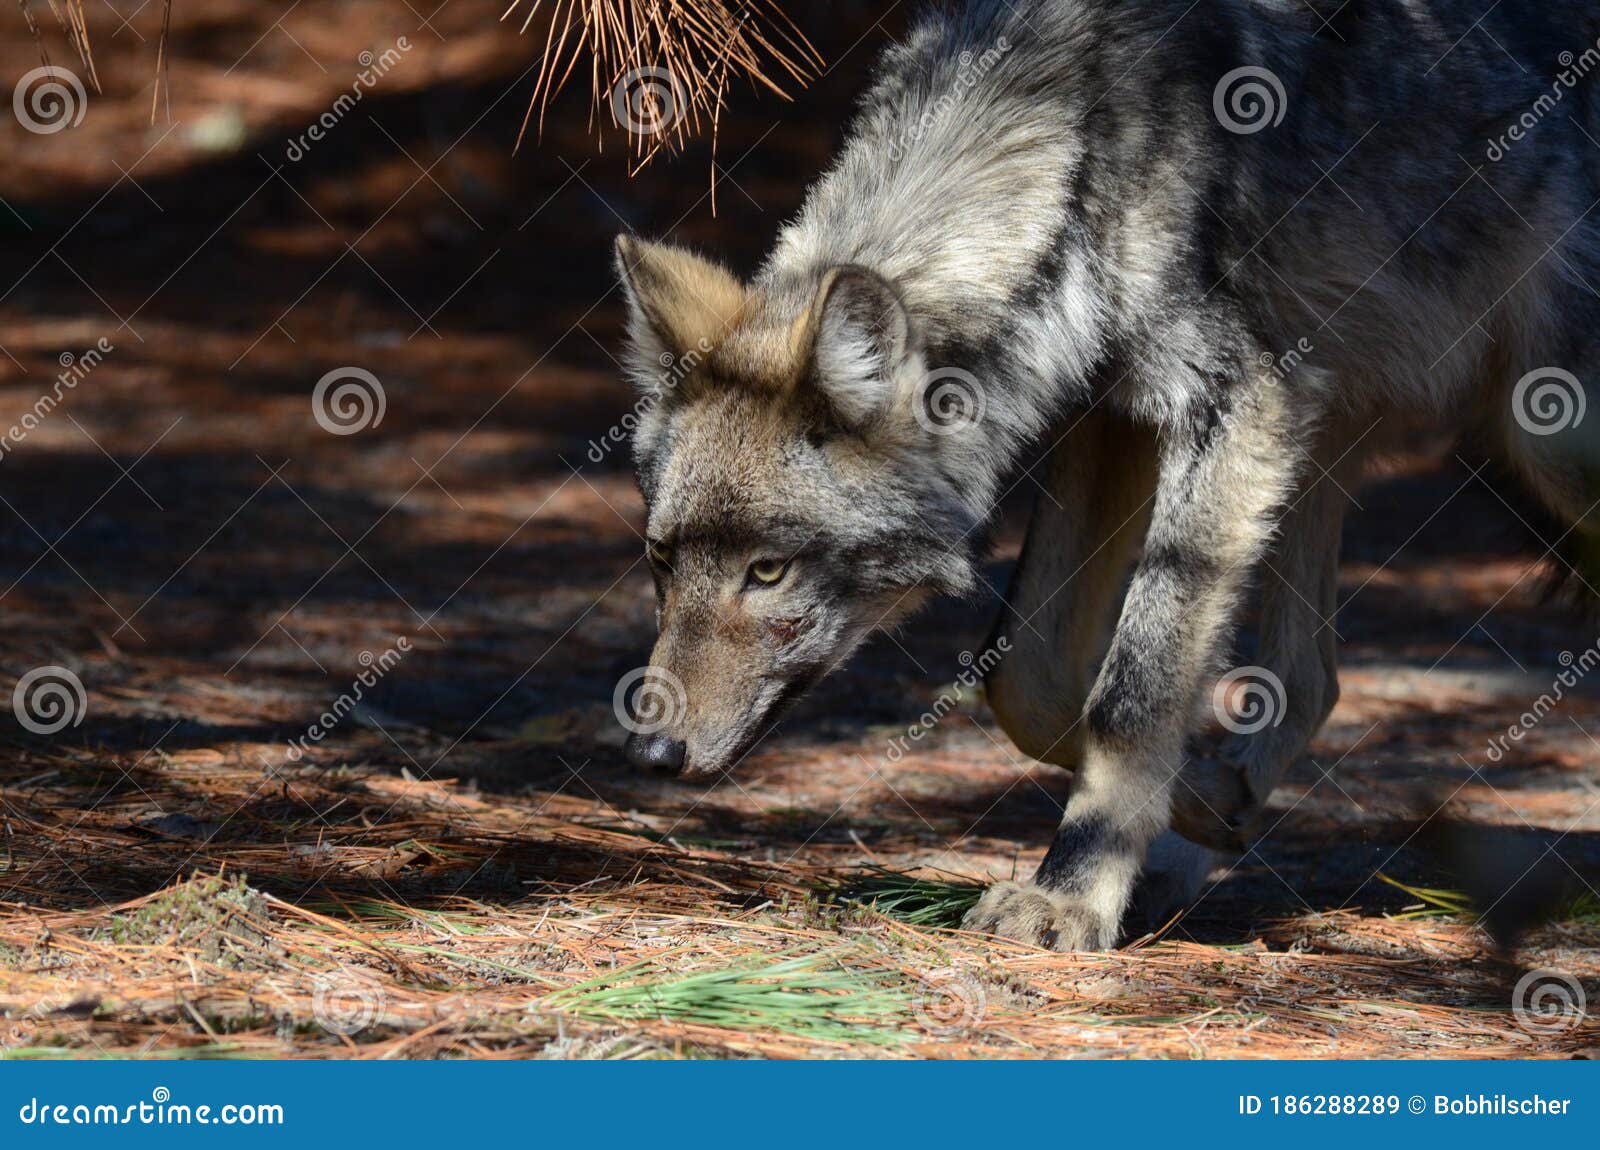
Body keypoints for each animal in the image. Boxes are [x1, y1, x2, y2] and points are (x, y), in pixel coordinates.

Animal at [612, 0, 1600, 950]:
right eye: (661, 562)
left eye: (767, 570)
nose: (653, 758)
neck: (1070, 142)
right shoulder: (1112, 417)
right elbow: (1033, 683)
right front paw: (1200, 806)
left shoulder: (1231, 407)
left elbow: (1132, 692)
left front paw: (1072, 897)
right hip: (1320, 434)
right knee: (1312, 678)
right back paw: (1193, 846)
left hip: (1539, 437)